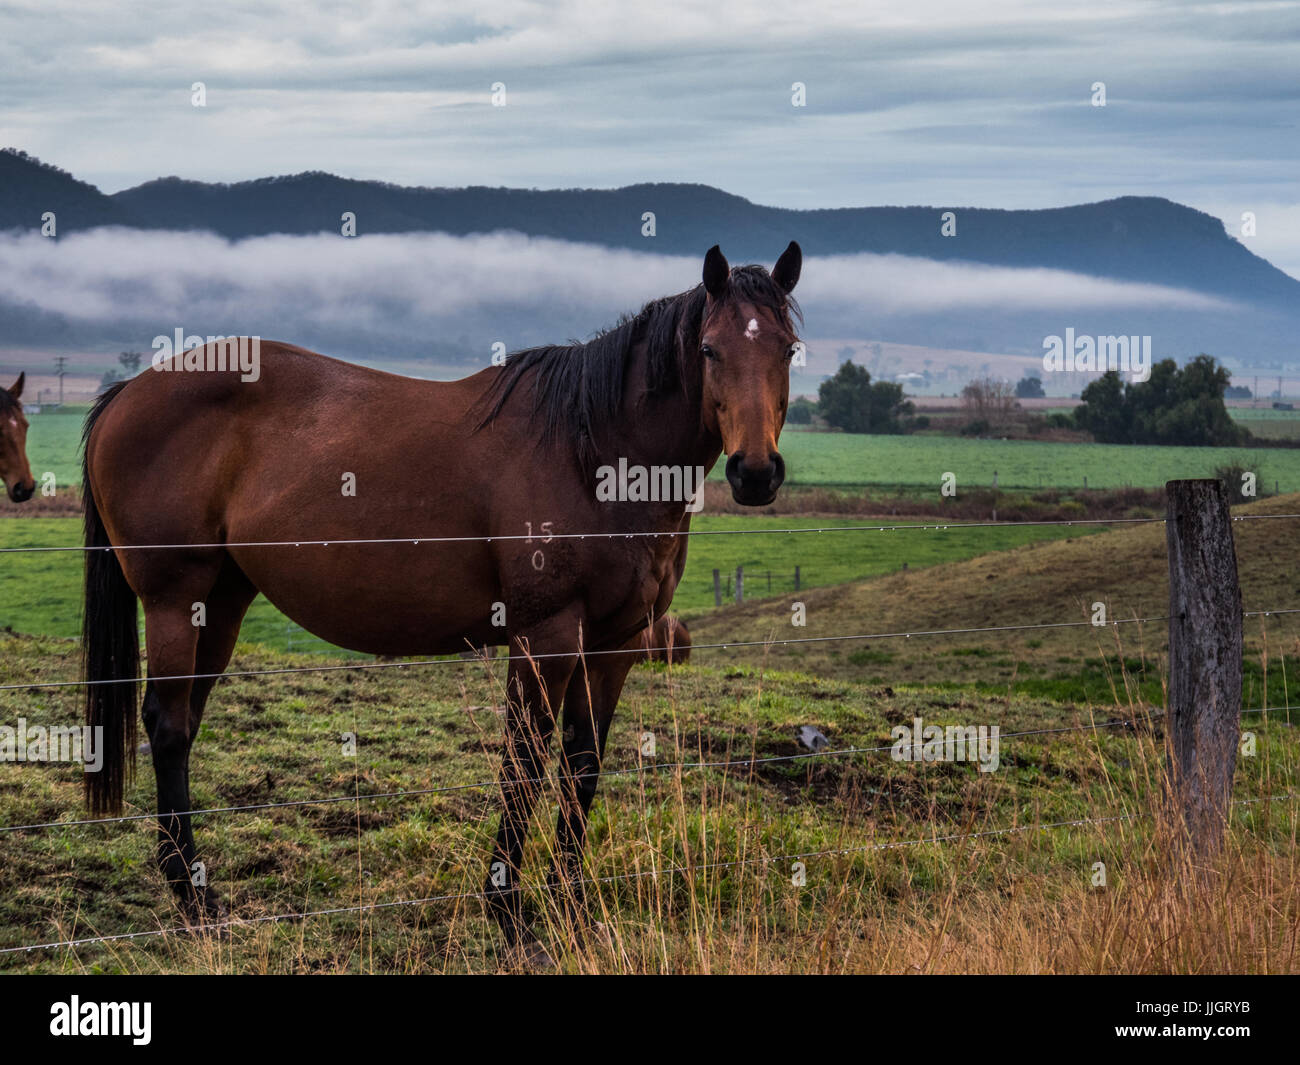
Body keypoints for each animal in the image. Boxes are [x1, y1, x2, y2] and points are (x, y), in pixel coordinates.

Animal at [81, 241, 801, 961]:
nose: (755, 472)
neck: (595, 450)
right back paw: (192, 899)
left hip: (223, 600)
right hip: (175, 598)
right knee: (168, 727)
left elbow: (582, 767)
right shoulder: (545, 636)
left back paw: (196, 888)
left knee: (184, 719)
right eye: (709, 349)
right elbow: (524, 764)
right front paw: (510, 915)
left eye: (790, 349)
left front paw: (573, 911)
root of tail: (128, 393)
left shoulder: (615, 645)